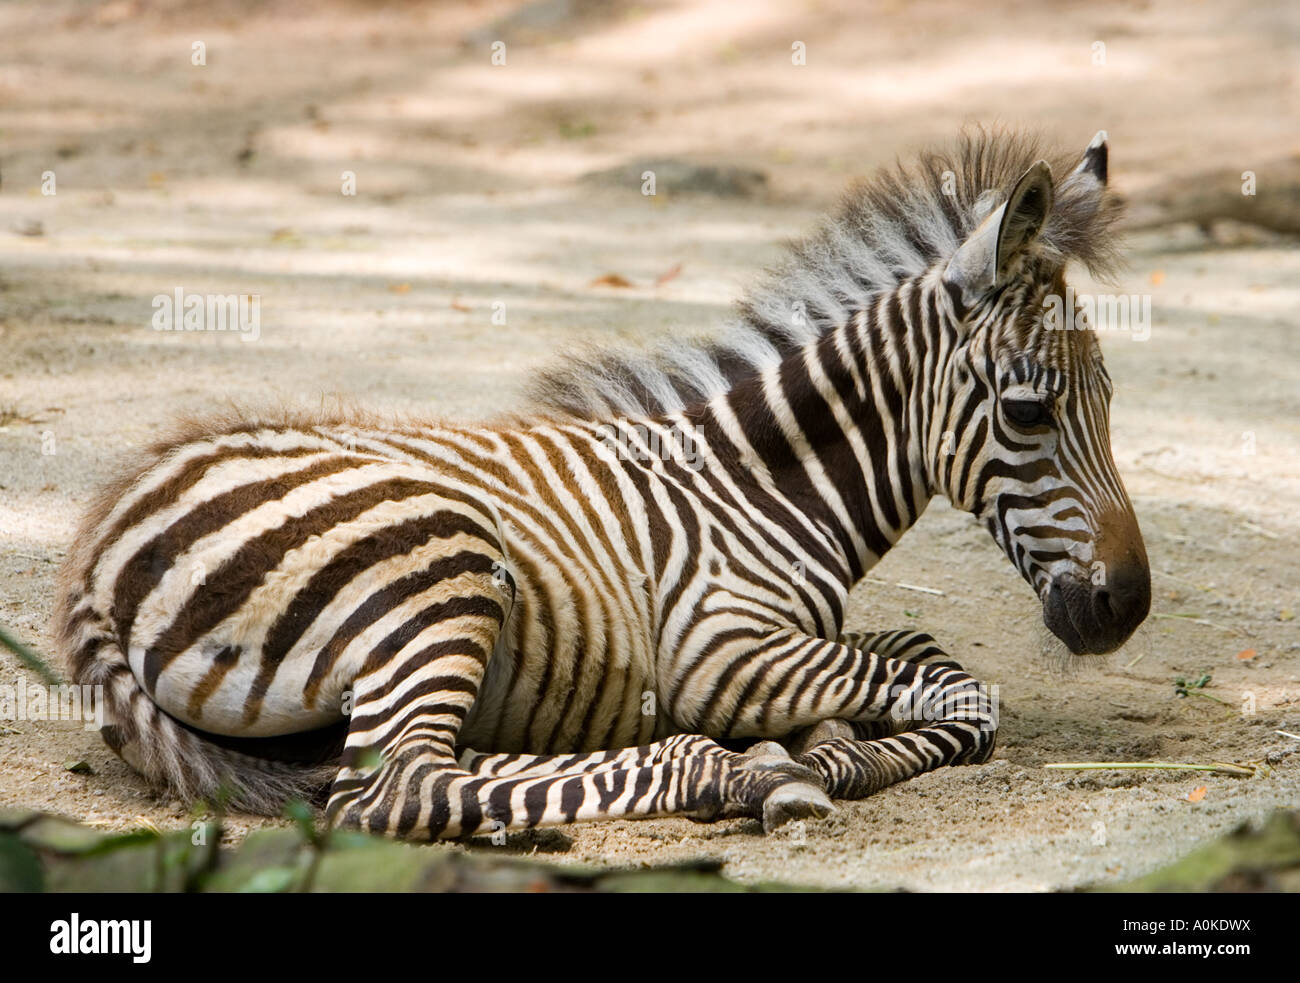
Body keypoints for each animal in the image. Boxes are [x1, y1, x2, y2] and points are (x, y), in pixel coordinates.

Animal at [55, 128, 1150, 840]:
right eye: (1028, 412)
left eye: (1111, 397)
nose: (1128, 606)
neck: (758, 483)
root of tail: (96, 550)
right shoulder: (720, 647)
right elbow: (967, 693)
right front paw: (832, 754)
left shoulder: (804, 632)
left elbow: (927, 655)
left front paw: (836, 740)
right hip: (439, 561)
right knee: (394, 787)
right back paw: (728, 773)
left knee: (380, 775)